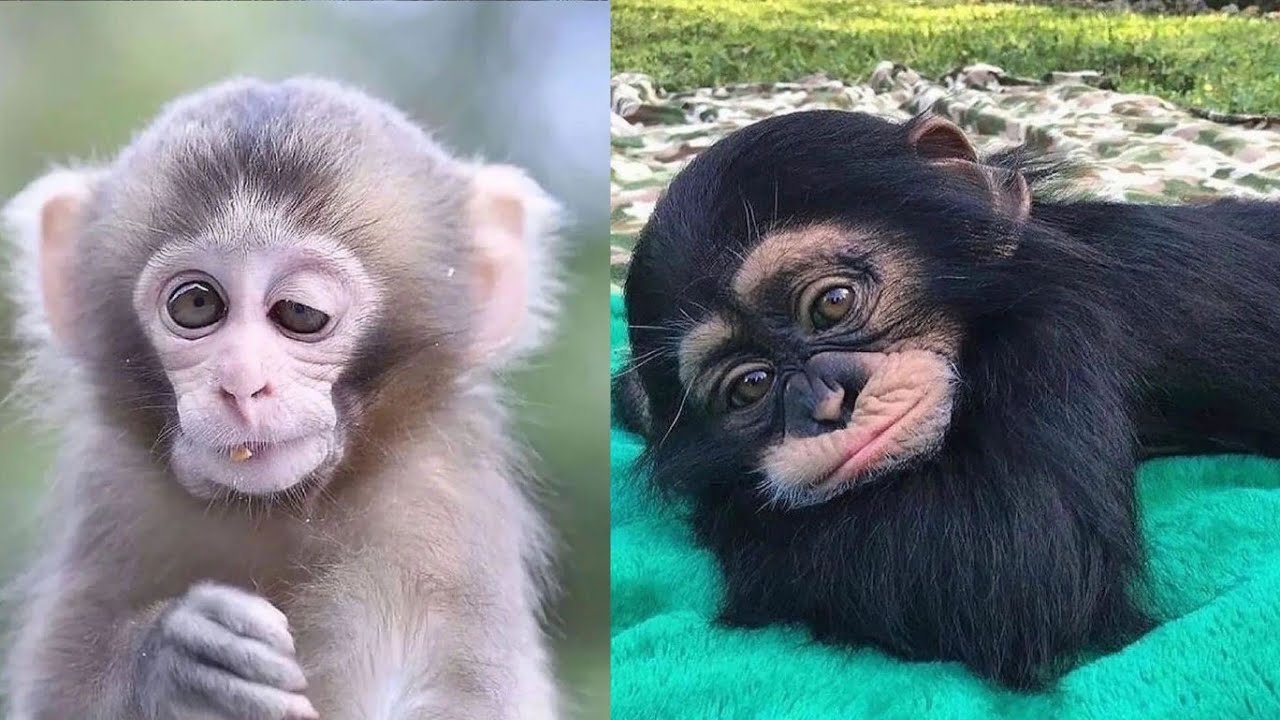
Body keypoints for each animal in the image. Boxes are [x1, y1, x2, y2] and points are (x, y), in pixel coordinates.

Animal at [1, 76, 565, 719]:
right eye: (196, 304)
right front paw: (177, 669)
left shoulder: (436, 515)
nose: (243, 382)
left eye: (300, 311)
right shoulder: (113, 493)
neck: (276, 511)